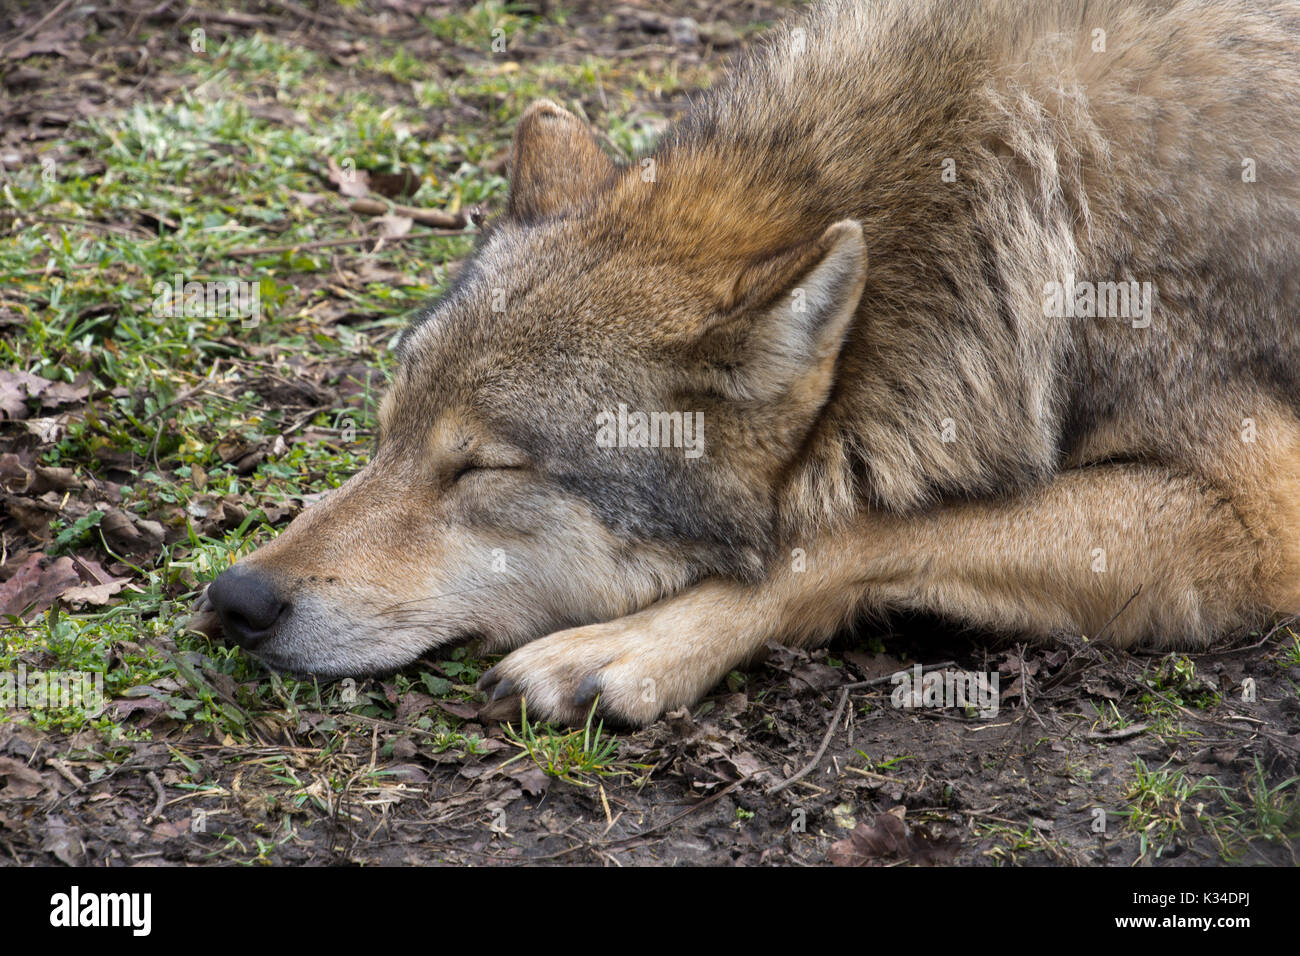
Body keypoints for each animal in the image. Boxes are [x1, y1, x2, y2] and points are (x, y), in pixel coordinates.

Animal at [197, 0, 1300, 726]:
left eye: (480, 468)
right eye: (386, 435)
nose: (235, 598)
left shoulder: (1264, 515)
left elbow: (856, 528)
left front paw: (633, 645)